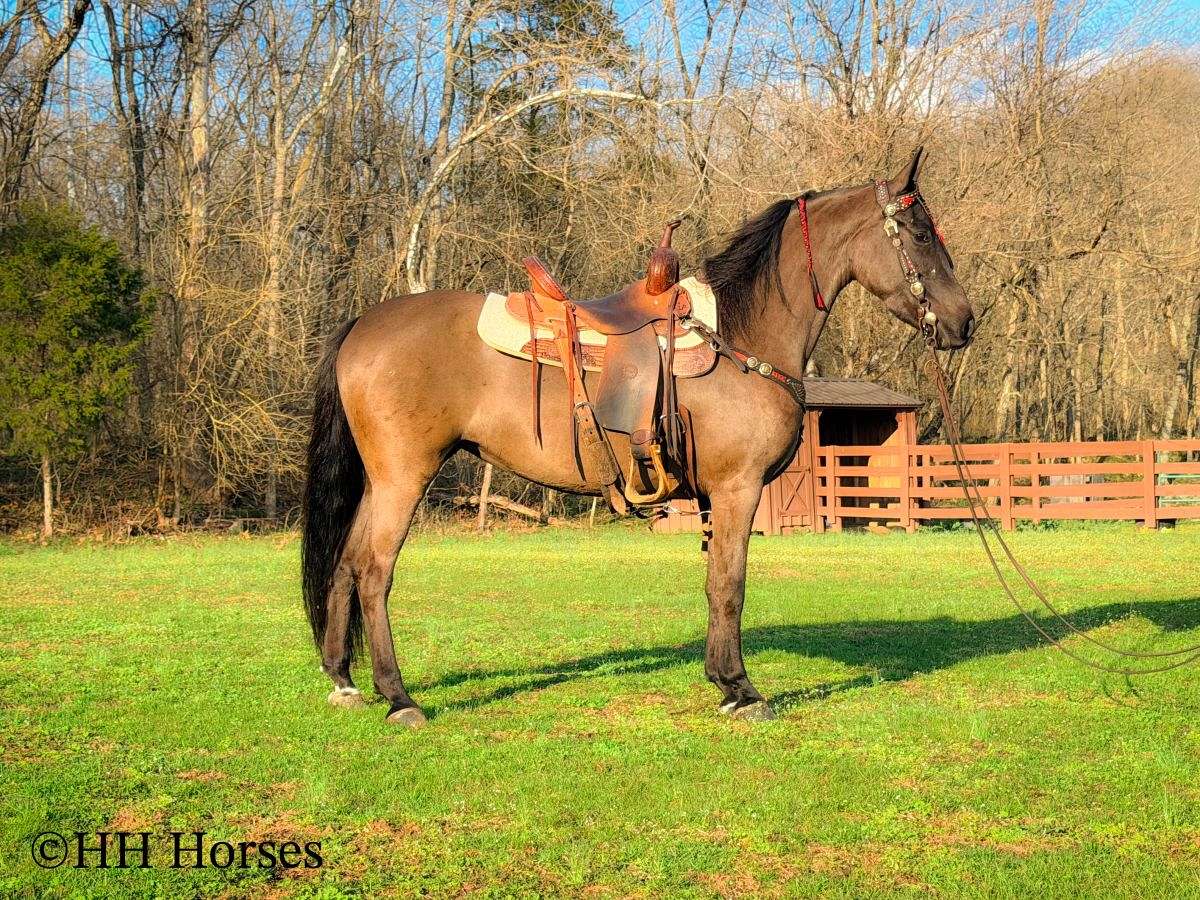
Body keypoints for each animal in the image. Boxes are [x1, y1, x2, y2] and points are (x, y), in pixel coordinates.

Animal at [301, 147, 975, 727]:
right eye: (920, 235)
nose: (964, 321)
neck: (742, 333)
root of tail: (362, 322)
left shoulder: (712, 498)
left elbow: (714, 584)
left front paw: (722, 681)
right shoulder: (738, 489)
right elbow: (730, 586)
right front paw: (742, 689)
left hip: (381, 480)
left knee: (344, 564)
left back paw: (345, 680)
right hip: (404, 475)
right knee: (374, 571)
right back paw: (399, 697)